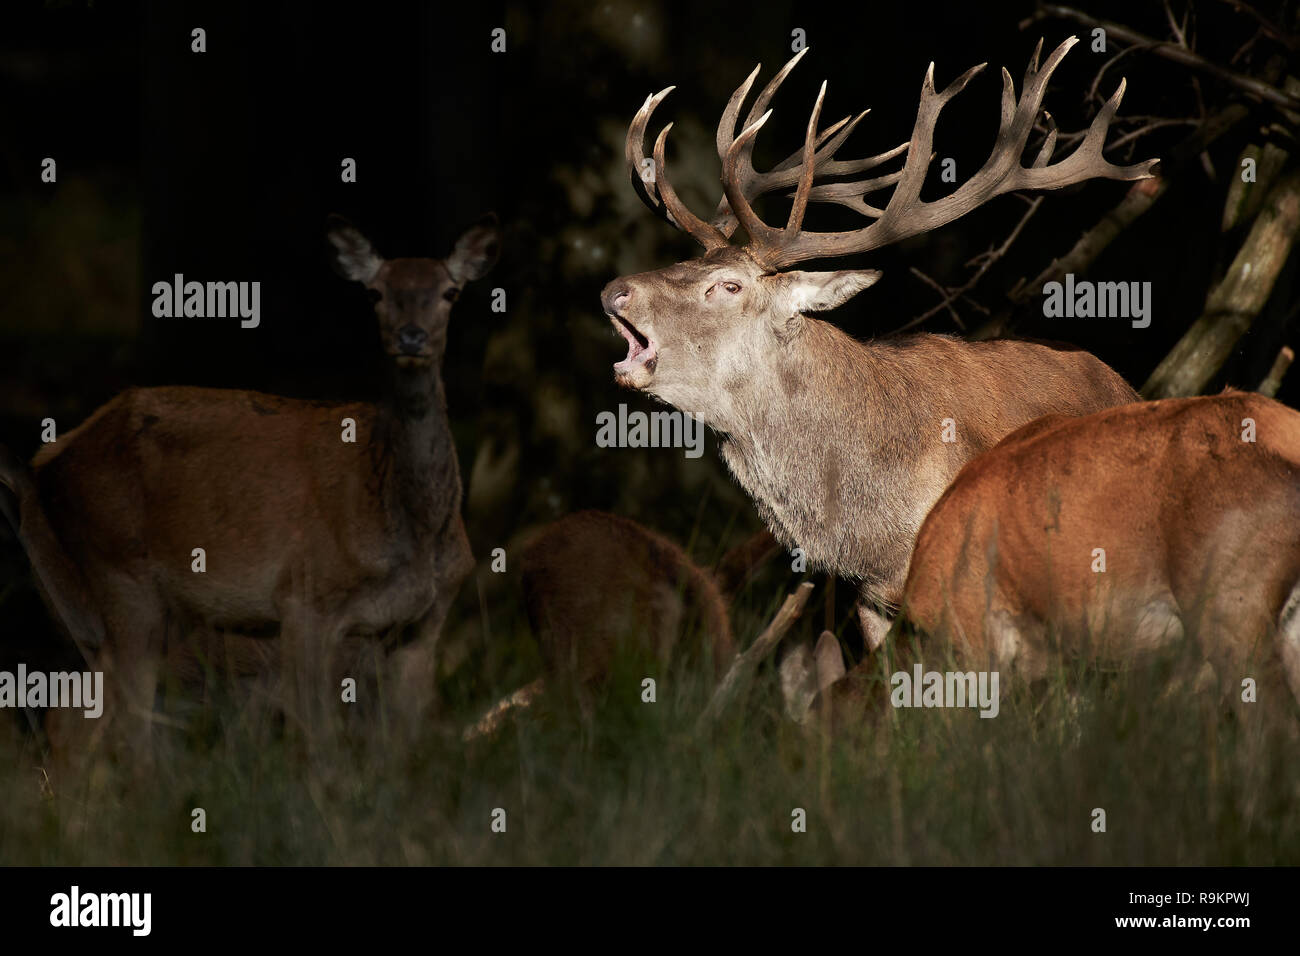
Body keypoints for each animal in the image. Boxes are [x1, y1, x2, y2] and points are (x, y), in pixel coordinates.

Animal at [0, 215, 501, 754]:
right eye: (375, 292)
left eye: (450, 291)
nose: (411, 337)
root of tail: (41, 465)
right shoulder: (305, 597)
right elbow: (316, 741)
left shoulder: (427, 619)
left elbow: (403, 746)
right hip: (119, 576)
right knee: (109, 726)